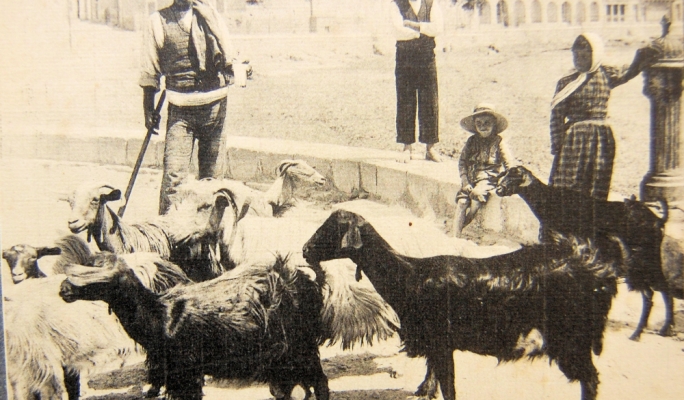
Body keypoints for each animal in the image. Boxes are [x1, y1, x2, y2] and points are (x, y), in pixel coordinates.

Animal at [59, 252, 330, 400]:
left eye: (97, 275)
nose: (64, 289)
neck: (161, 315)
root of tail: (310, 284)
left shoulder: (186, 371)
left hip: (301, 347)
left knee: (320, 383)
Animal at [303, 209, 619, 400]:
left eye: (330, 230)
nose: (305, 250)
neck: (410, 275)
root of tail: (597, 268)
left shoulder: (442, 342)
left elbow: (449, 386)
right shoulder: (434, 343)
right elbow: (434, 376)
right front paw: (424, 389)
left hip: (572, 340)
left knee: (591, 379)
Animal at [495, 165, 670, 340]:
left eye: (514, 176)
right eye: (504, 173)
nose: (498, 189)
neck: (551, 201)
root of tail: (658, 221)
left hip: (643, 263)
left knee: (656, 291)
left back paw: (649, 332)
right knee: (654, 291)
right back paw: (653, 331)